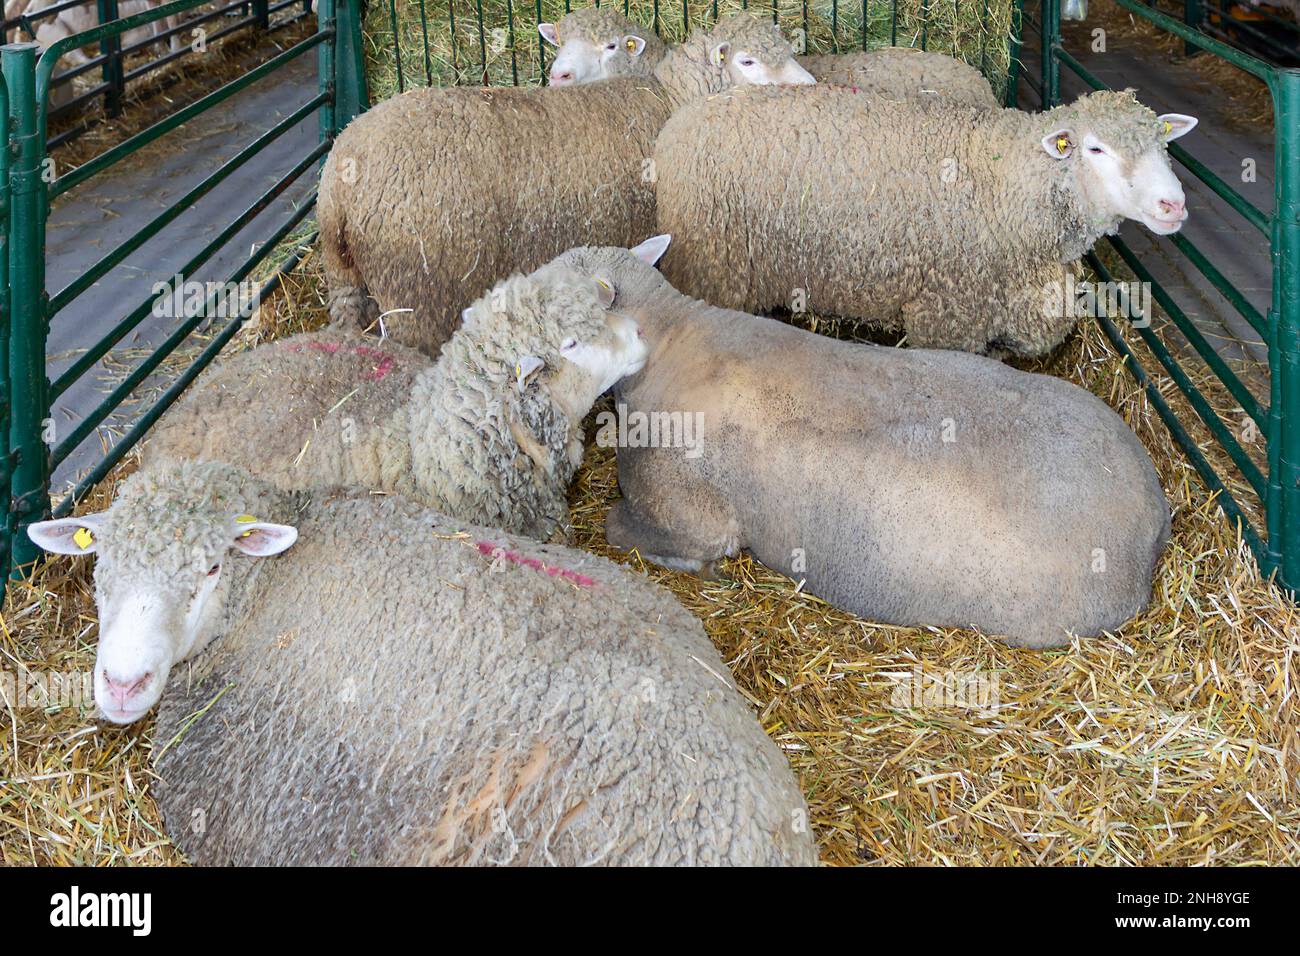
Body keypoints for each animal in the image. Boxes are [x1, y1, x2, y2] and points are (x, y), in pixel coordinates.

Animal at [317, 14, 814, 357]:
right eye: (748, 61)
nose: (810, 84)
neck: (668, 98)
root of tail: (341, 170)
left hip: (345, 277)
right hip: (415, 290)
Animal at [653, 87, 1198, 357]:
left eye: (1164, 143)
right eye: (1095, 149)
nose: (1174, 205)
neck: (1004, 183)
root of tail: (676, 124)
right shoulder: (948, 313)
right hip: (713, 262)